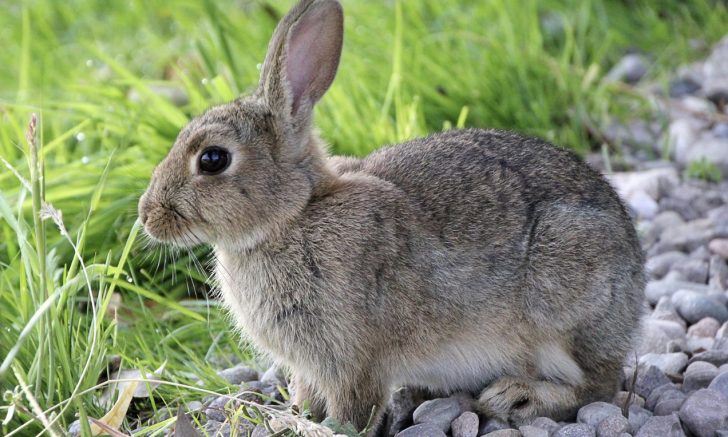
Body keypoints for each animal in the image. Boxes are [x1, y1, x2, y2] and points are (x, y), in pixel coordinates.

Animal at [138, 0, 645, 433]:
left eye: (213, 159)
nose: (148, 215)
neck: (295, 215)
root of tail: (636, 282)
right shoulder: (310, 365)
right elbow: (307, 394)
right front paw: (295, 416)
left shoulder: (352, 358)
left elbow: (353, 408)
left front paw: (327, 428)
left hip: (566, 300)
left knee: (598, 386)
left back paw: (517, 397)